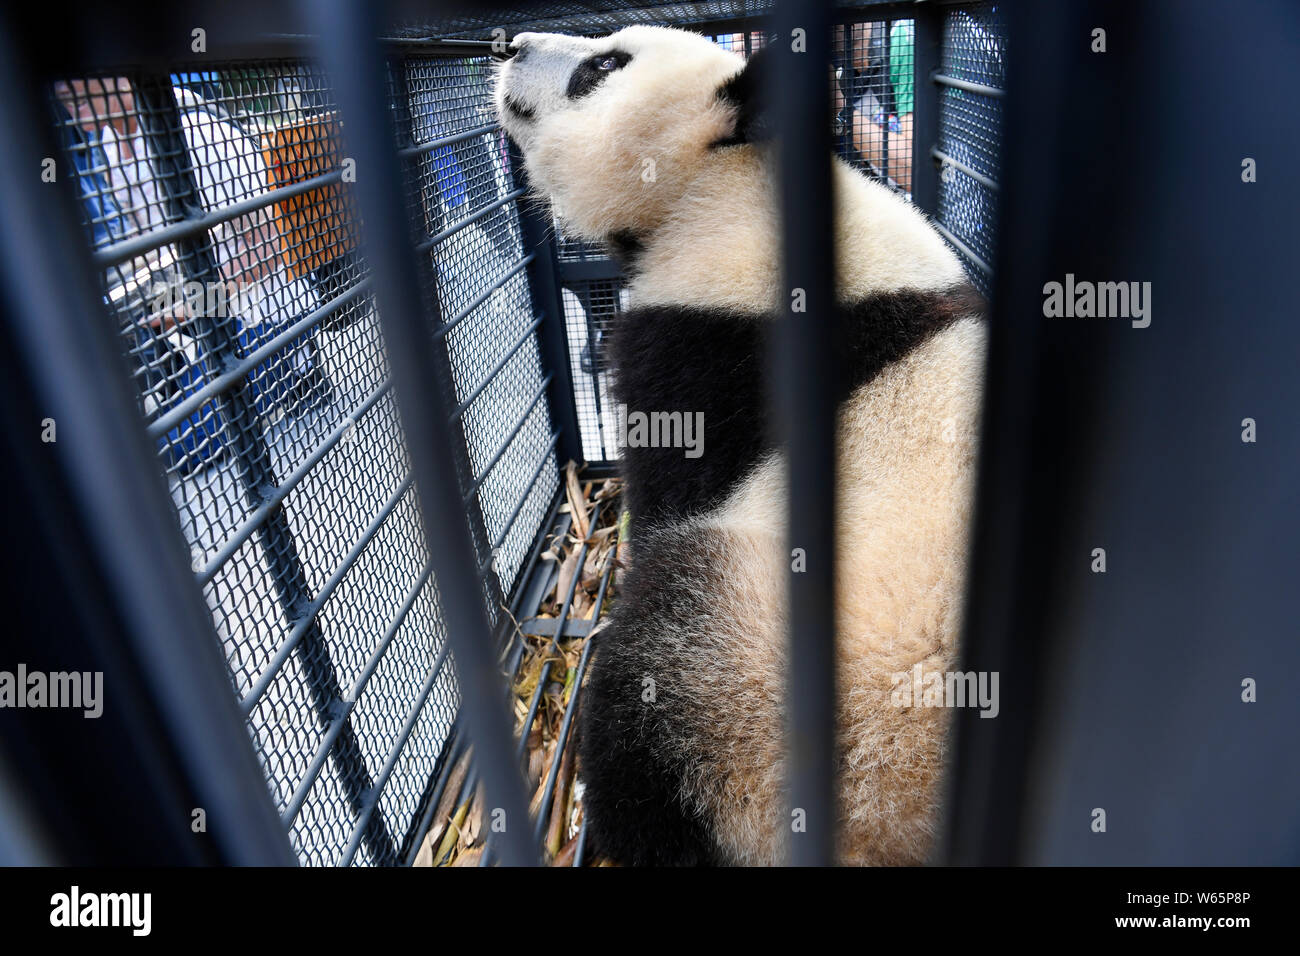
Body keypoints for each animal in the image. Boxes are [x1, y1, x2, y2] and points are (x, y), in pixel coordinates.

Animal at [496, 25, 986, 865]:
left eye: (604, 66)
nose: (511, 44)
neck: (726, 177)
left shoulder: (718, 346)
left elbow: (669, 486)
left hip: (779, 686)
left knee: (649, 687)